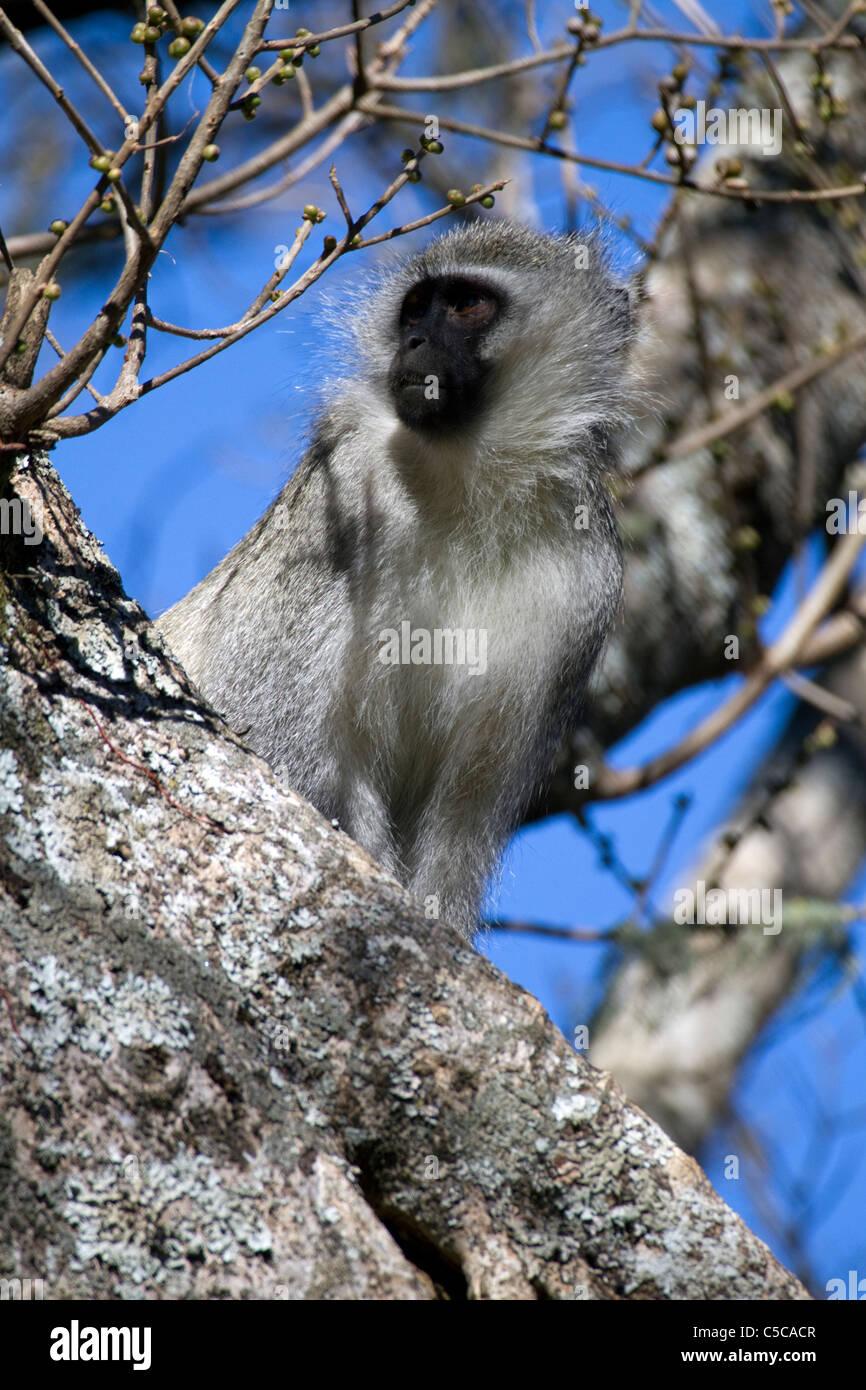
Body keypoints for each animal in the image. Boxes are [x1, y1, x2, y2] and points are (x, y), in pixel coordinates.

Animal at [157, 220, 633, 938]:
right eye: (415, 310)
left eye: (466, 305)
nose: (413, 343)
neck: (469, 483)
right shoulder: (344, 483)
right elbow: (267, 728)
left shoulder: (586, 582)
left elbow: (460, 821)